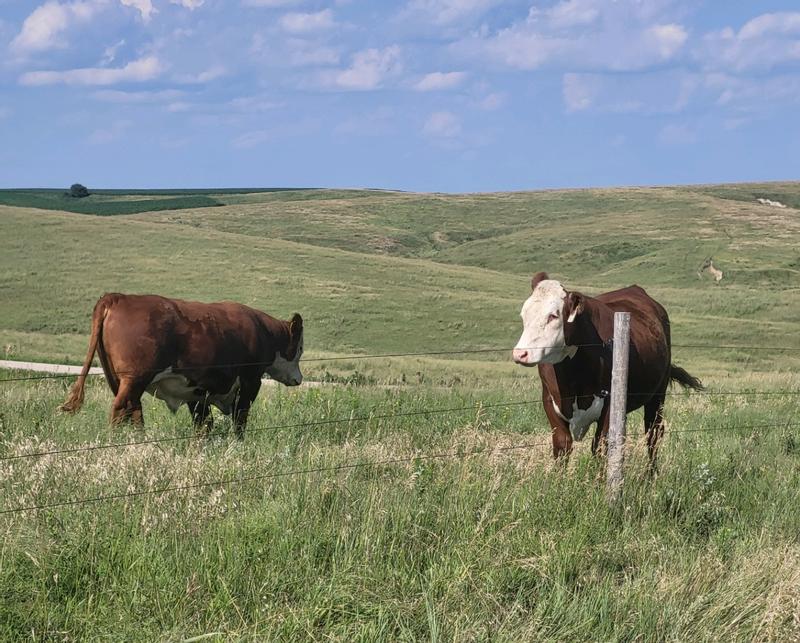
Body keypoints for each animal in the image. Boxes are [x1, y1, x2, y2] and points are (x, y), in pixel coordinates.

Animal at [59, 293, 304, 438]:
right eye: (300, 348)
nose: (299, 379)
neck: (262, 331)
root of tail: (119, 298)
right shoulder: (250, 381)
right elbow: (240, 417)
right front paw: (239, 442)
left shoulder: (198, 389)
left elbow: (204, 422)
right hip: (135, 377)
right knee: (121, 408)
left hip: (121, 380)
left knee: (134, 408)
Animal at [511, 273, 703, 469]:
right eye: (524, 315)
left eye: (553, 316)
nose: (520, 353)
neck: (573, 378)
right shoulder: (549, 400)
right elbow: (562, 445)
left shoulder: (610, 404)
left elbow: (601, 446)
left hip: (658, 394)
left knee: (653, 434)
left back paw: (651, 474)